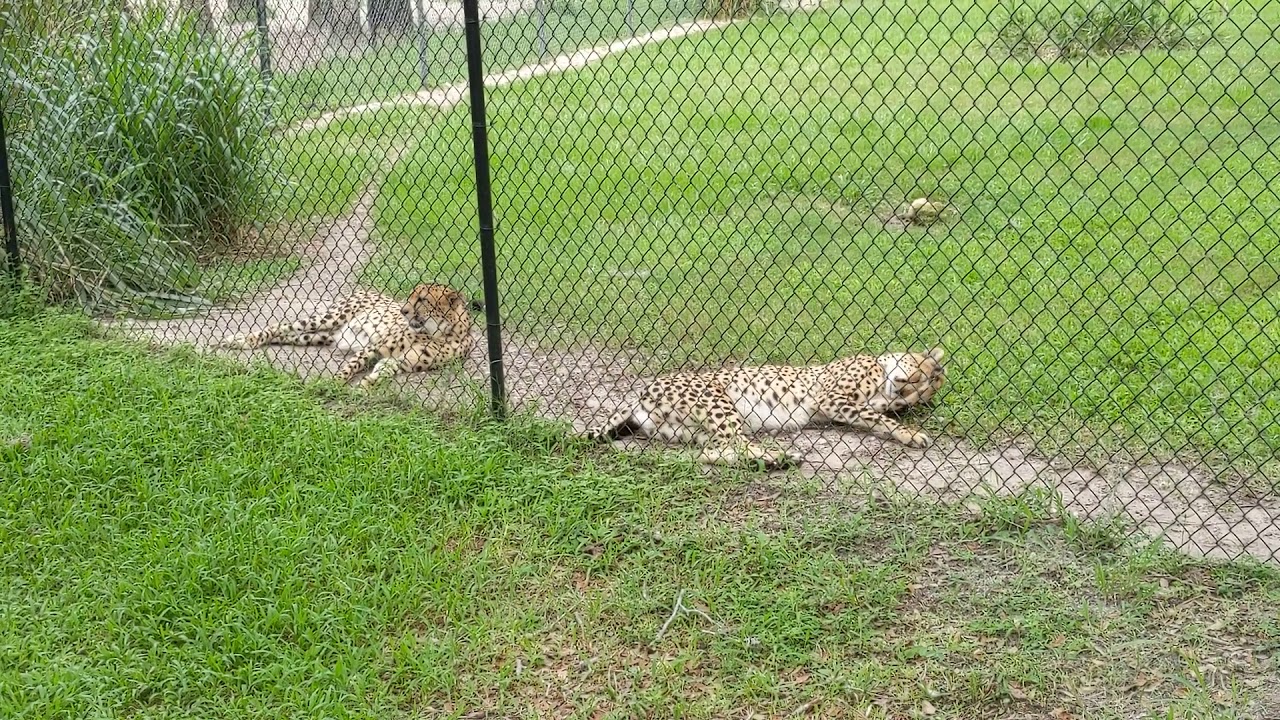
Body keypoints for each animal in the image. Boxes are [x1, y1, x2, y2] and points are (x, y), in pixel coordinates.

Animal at [217, 283, 478, 388]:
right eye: (412, 295)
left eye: (422, 299)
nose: (403, 310)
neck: (439, 332)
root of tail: (364, 289)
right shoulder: (373, 348)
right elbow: (351, 367)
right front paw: (336, 383)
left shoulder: (399, 361)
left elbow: (379, 374)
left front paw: (364, 387)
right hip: (329, 318)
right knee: (279, 326)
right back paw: (241, 340)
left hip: (321, 336)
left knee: (288, 337)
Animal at [586, 347, 946, 470]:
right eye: (920, 374)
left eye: (920, 396)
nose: (904, 394)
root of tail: (639, 396)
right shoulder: (832, 400)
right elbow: (881, 419)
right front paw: (912, 434)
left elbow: (879, 416)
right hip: (718, 402)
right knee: (731, 445)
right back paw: (780, 457)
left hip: (692, 431)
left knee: (713, 452)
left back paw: (778, 460)